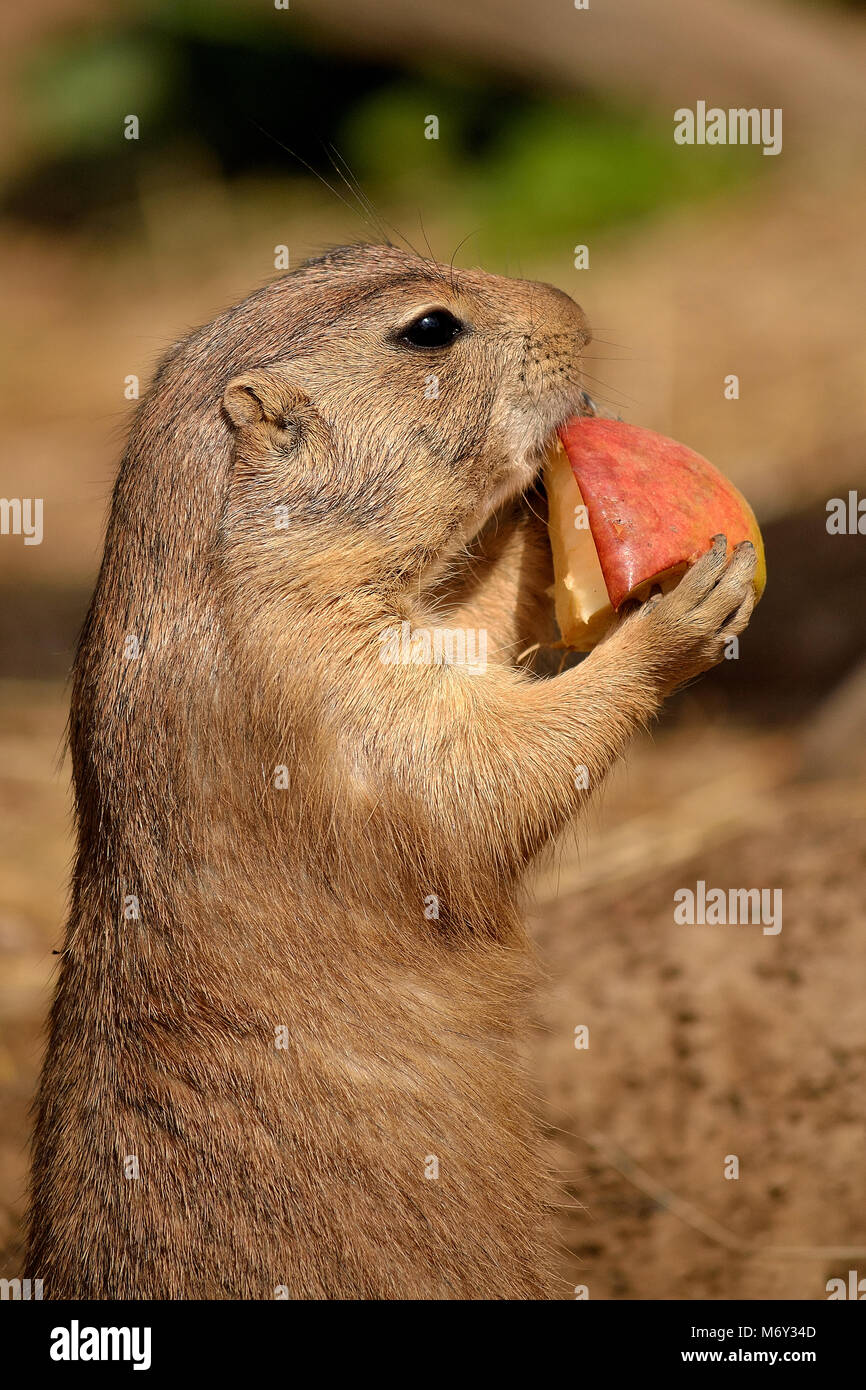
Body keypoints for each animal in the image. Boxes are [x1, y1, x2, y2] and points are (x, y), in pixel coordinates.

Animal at [26, 244, 756, 1299]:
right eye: (429, 329)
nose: (573, 307)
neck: (230, 569)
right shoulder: (320, 690)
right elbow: (477, 772)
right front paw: (684, 606)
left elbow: (476, 625)